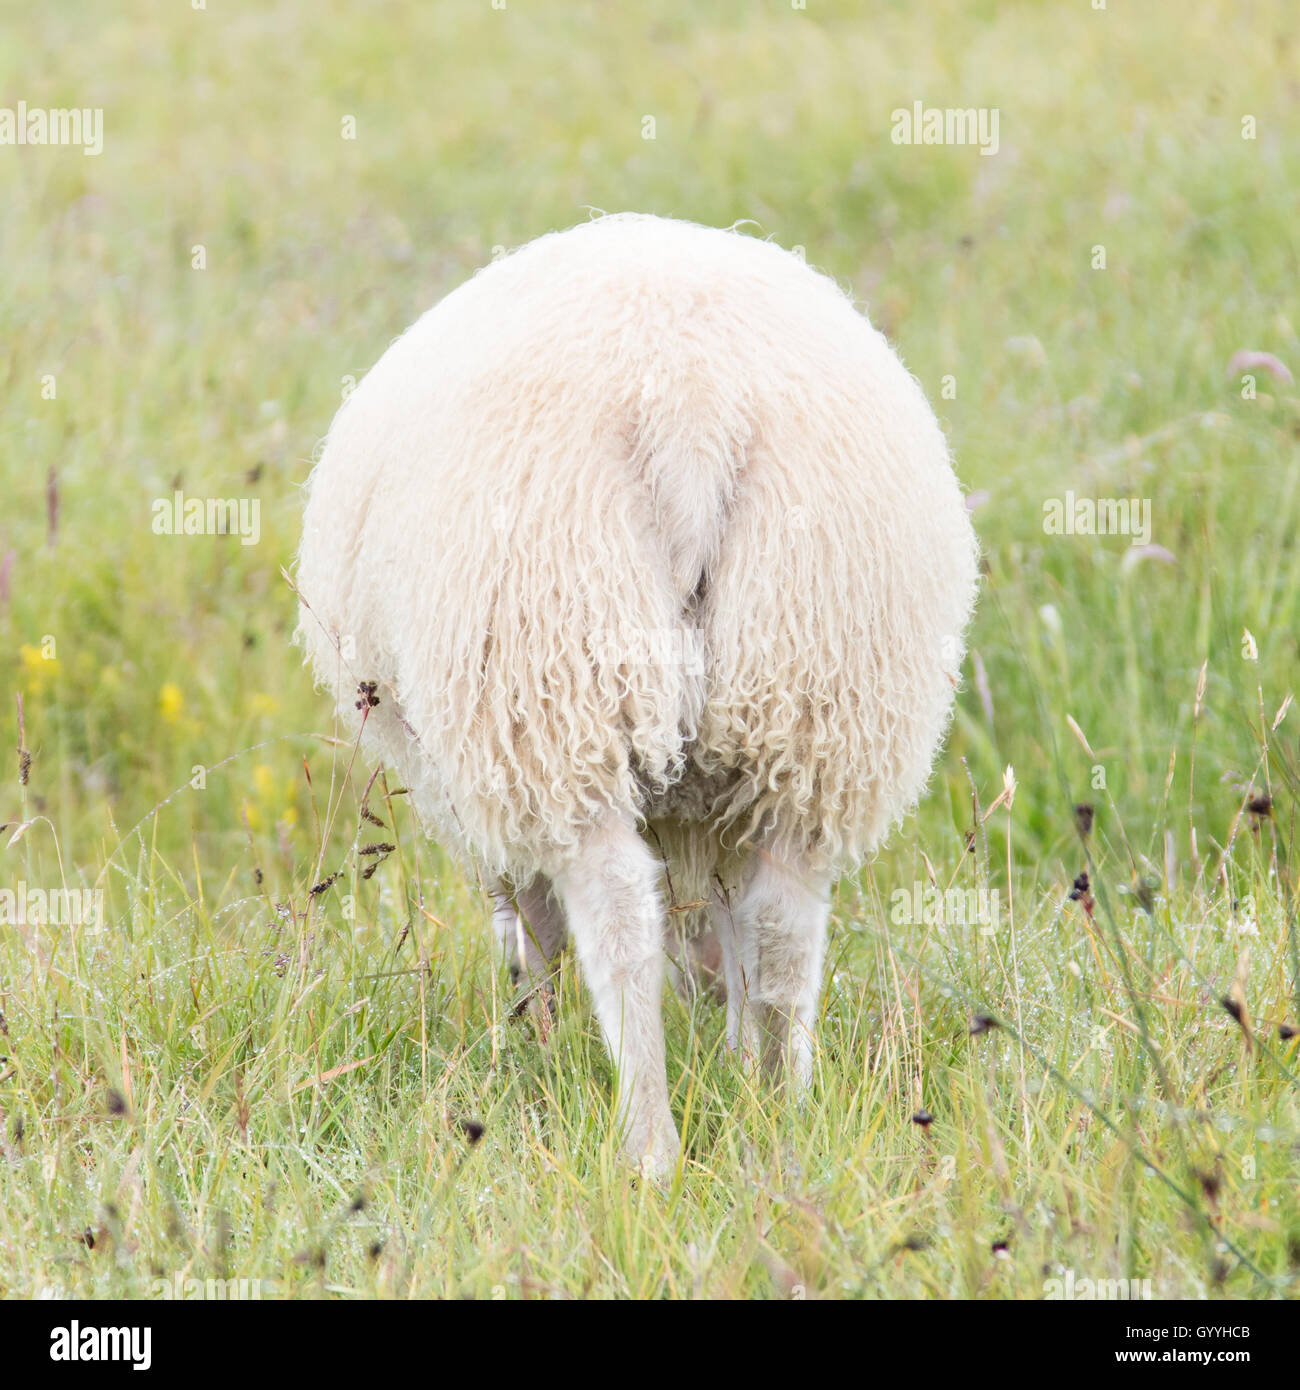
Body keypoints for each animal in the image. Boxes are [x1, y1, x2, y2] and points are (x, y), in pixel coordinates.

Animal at [295, 213, 979, 1177]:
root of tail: (692, 408)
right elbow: (731, 938)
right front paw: (737, 1060)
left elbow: (531, 920)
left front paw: (540, 1039)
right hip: (820, 689)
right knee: (782, 927)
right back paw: (783, 1119)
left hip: (554, 675)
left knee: (620, 919)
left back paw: (648, 1145)